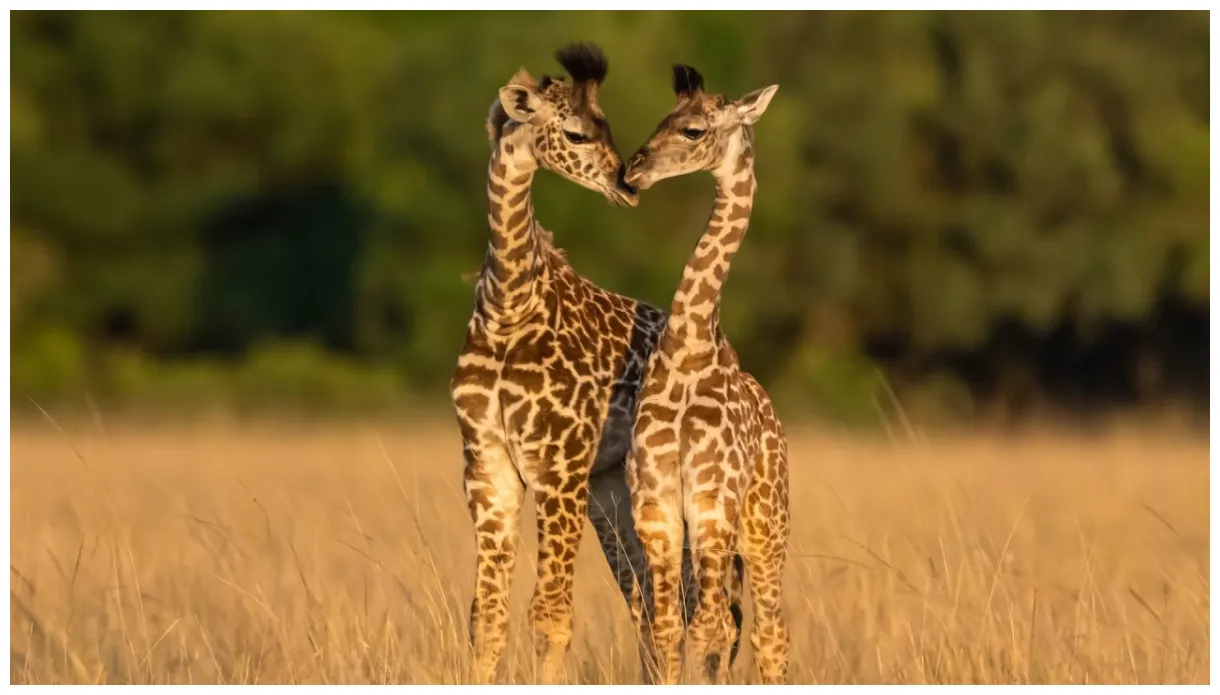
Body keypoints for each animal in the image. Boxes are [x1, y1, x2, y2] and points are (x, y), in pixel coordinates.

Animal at [451, 44, 711, 685]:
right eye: (576, 132)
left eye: (608, 126)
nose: (627, 184)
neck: (509, 308)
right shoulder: (487, 467)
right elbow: (486, 616)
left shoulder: (558, 468)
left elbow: (550, 616)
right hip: (612, 492)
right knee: (649, 607)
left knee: (685, 604)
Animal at [621, 64, 791, 685]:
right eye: (663, 116)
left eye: (693, 129)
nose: (632, 169)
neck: (687, 354)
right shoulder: (657, 511)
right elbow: (669, 630)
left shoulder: (714, 508)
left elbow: (708, 630)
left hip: (765, 531)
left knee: (769, 634)